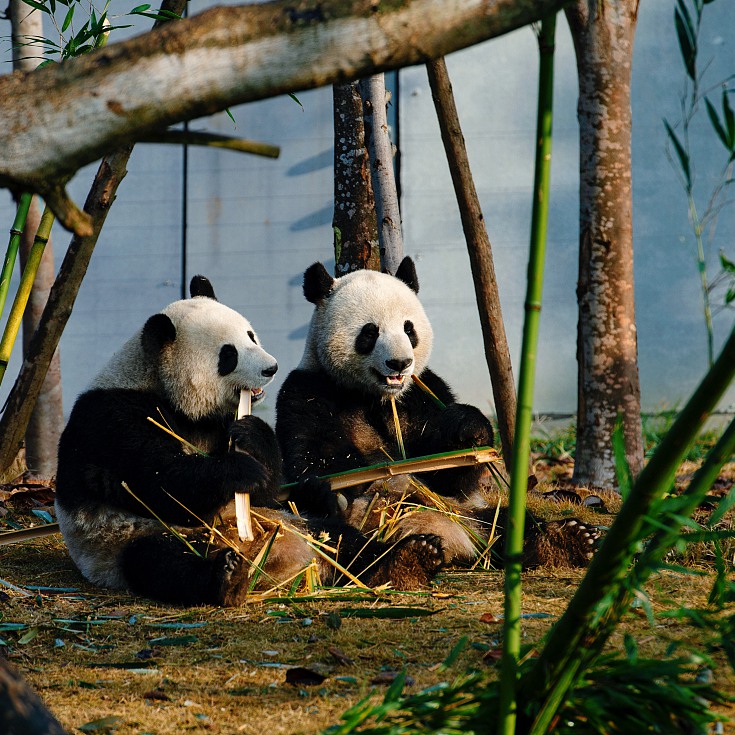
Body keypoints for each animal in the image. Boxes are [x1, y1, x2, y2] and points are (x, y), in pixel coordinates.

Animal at [54, 276, 445, 607]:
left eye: (251, 336)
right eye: (229, 354)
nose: (271, 368)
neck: (157, 382)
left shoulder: (221, 421)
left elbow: (265, 489)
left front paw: (254, 438)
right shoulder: (113, 419)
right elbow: (159, 483)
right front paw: (237, 469)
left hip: (292, 523)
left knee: (339, 538)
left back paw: (409, 558)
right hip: (126, 542)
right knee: (162, 561)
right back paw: (226, 578)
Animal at [275, 258, 598, 569]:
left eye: (408, 329)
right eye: (370, 331)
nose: (400, 363)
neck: (378, 397)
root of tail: (452, 540)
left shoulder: (422, 393)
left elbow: (447, 472)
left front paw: (468, 430)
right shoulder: (309, 390)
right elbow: (315, 456)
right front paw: (345, 483)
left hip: (467, 512)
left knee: (507, 520)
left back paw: (565, 540)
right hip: (350, 523)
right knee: (341, 540)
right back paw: (403, 558)